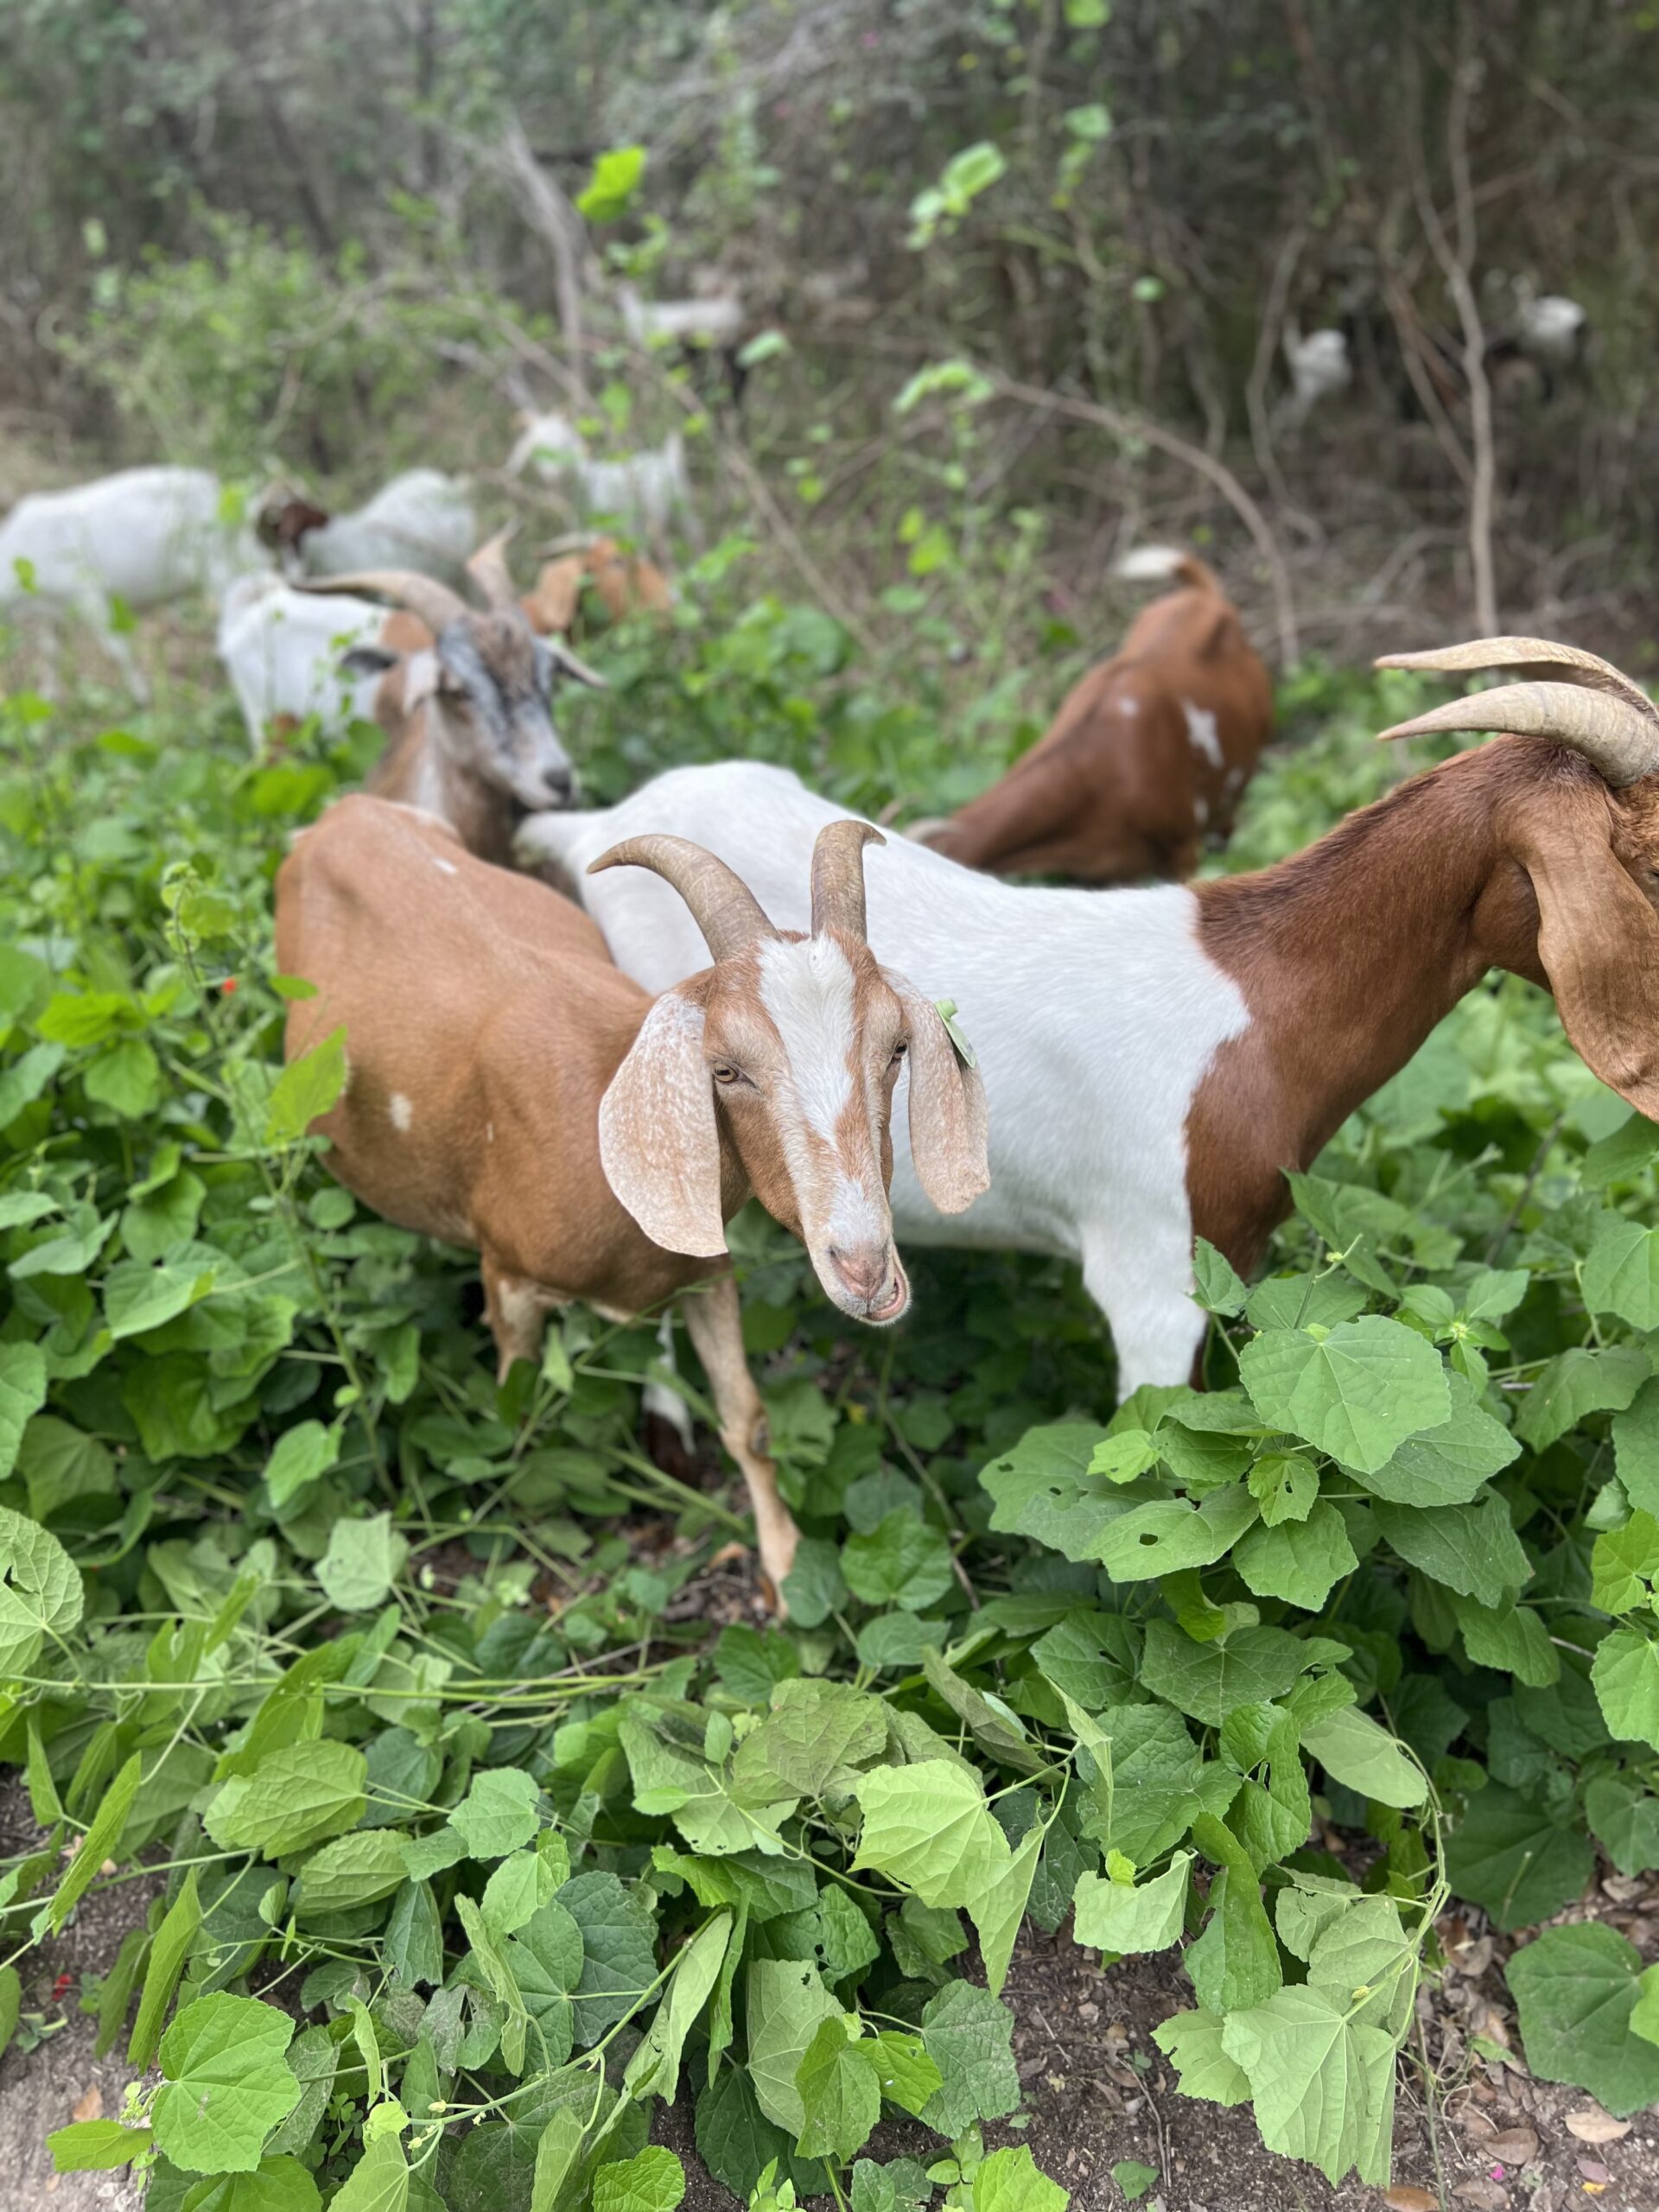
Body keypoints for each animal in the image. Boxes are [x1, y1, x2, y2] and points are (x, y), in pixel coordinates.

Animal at [0, 466, 259, 695]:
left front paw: (140, 694)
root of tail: (214, 486)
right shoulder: (50, 614)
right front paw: (48, 695)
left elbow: (117, 649)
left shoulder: (87, 595)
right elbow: (50, 653)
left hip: (216, 564)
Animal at [274, 802, 988, 1601]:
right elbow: (518, 1409)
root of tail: (344, 812)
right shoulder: (508, 1275)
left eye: (896, 1048)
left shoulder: (706, 1275)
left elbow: (747, 1418)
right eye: (726, 1068)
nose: (864, 1271)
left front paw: (784, 1563)